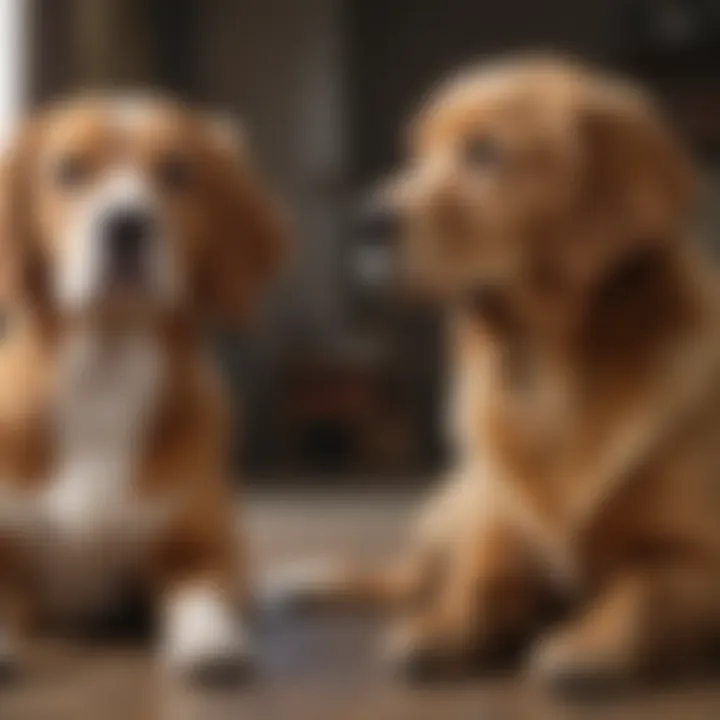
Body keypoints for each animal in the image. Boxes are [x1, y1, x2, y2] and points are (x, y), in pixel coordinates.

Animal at [0, 94, 284, 680]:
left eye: (178, 171)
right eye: (69, 170)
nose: (126, 225)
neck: (103, 376)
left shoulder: (201, 546)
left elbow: (203, 592)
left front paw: (210, 641)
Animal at [270, 57, 720, 692]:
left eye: (485, 152)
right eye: (415, 156)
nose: (363, 224)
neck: (551, 376)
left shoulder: (699, 558)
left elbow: (644, 590)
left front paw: (589, 643)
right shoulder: (501, 529)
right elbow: (479, 584)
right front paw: (445, 629)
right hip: (459, 504)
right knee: (409, 578)